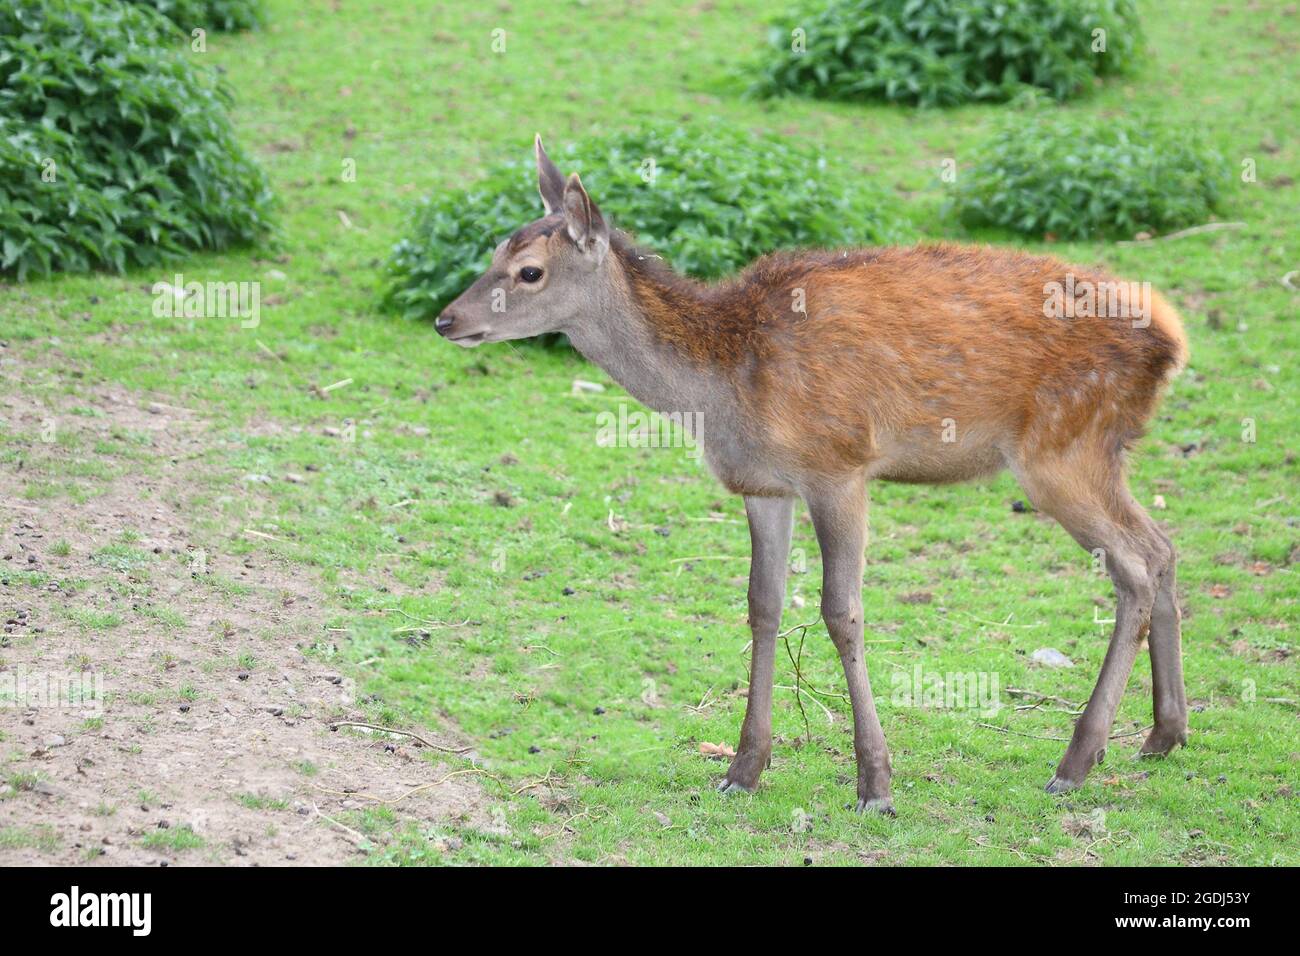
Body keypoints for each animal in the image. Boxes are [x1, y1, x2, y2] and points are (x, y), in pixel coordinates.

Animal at [435, 136, 1190, 814]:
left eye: (529, 271)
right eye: (495, 251)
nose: (446, 319)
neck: (723, 388)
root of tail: (1173, 341)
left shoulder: (840, 467)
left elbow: (840, 611)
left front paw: (875, 784)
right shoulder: (765, 486)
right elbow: (763, 604)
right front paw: (742, 770)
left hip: (1059, 450)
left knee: (1132, 566)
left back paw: (1075, 762)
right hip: (1099, 454)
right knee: (1162, 546)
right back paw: (1164, 734)